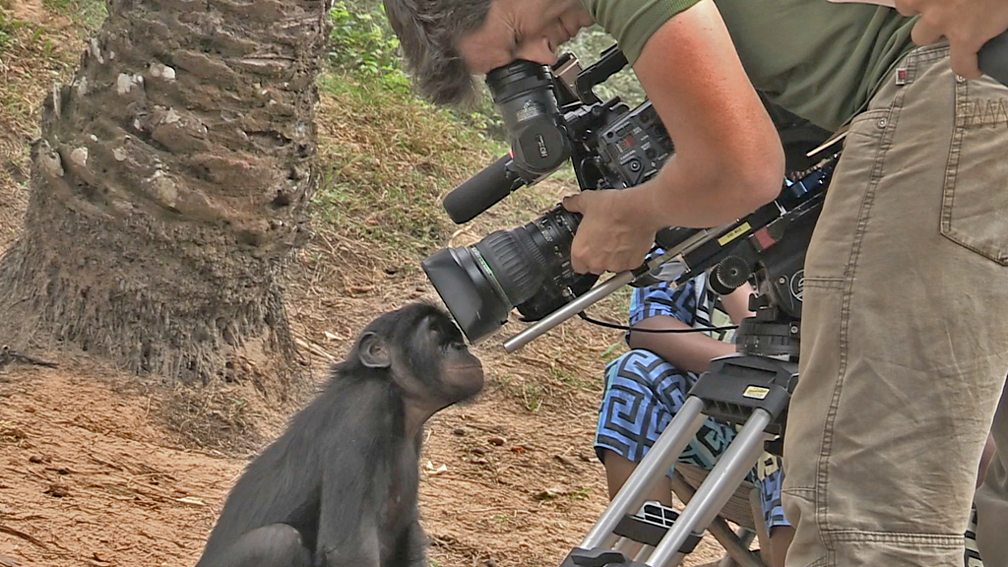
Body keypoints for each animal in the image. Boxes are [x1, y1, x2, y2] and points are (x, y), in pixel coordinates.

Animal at [194, 302, 485, 567]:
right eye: (435, 331)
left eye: (454, 334)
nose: (460, 347)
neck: (397, 394)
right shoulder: (365, 409)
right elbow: (349, 549)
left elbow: (410, 536)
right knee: (277, 541)